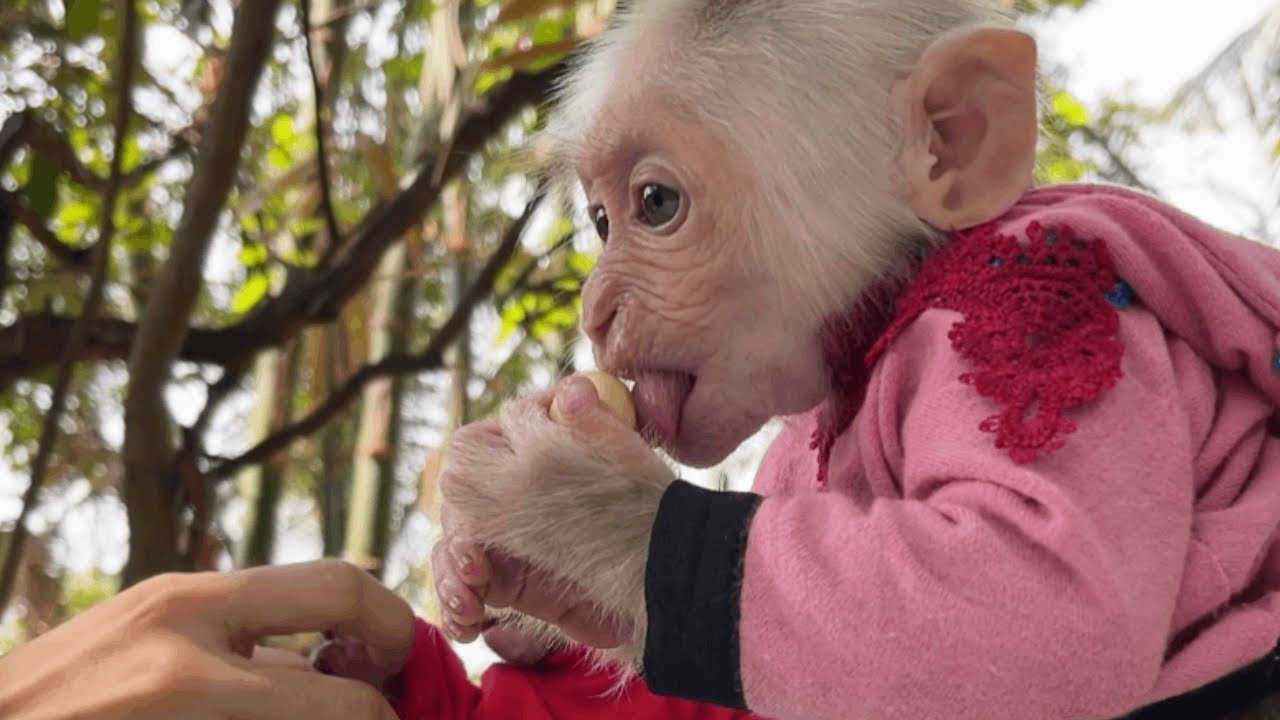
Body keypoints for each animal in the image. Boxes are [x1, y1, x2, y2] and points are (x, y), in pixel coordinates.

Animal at [425, 2, 1280, 719]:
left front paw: (556, 493)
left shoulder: (1029, 309)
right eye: (599, 221)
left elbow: (1036, 599)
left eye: (655, 204)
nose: (593, 311)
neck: (864, 335)